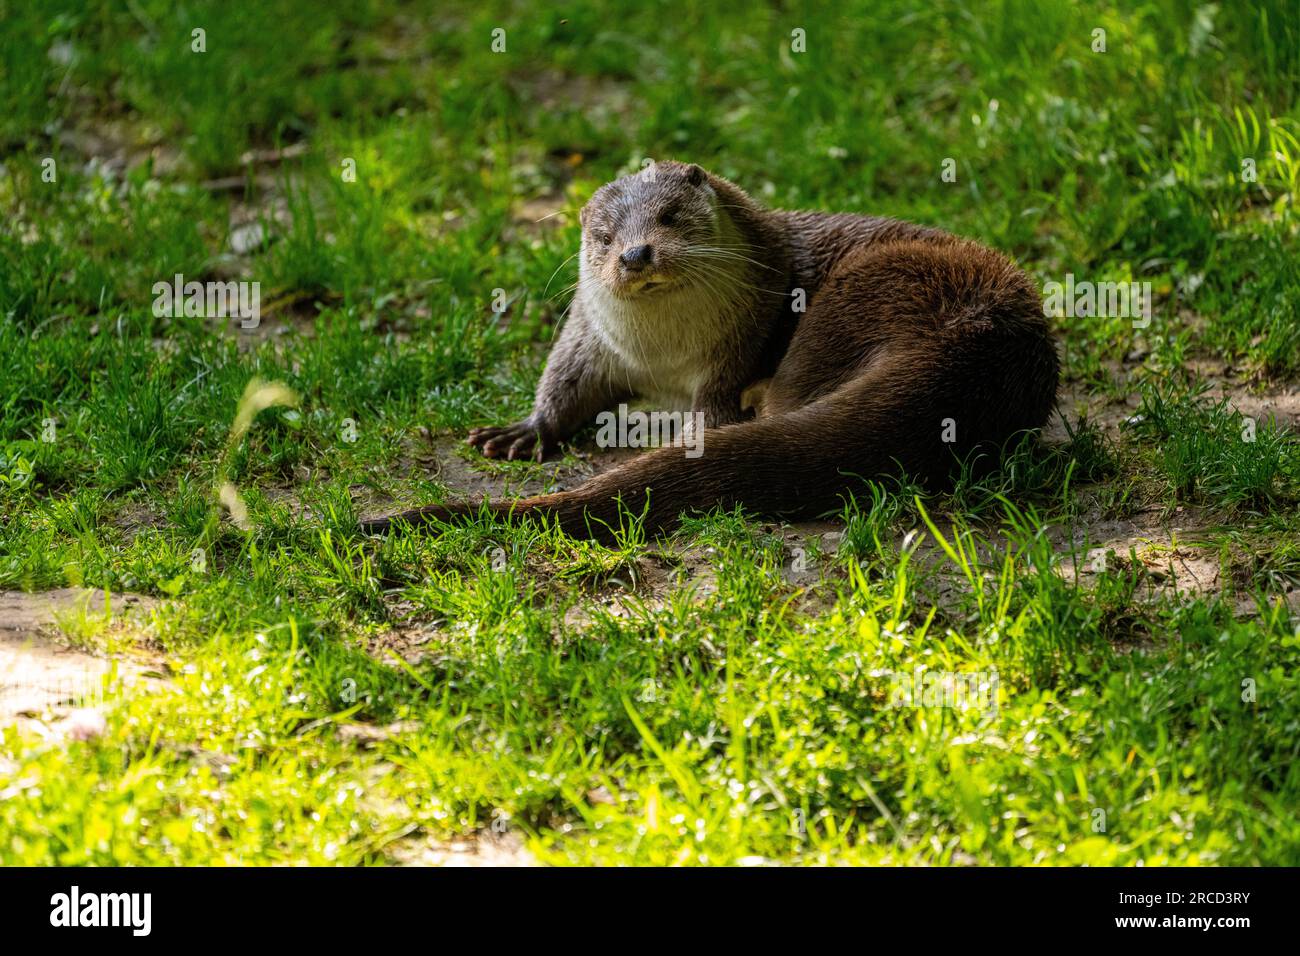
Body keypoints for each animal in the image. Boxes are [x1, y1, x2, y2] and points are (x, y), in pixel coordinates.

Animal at [361, 161, 1058, 540]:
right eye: (605, 236)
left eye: (669, 216)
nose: (635, 254)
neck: (663, 358)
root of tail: (983, 344)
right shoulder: (590, 337)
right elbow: (563, 382)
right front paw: (523, 432)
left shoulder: (734, 349)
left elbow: (715, 409)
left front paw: (703, 429)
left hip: (863, 296)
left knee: (788, 399)